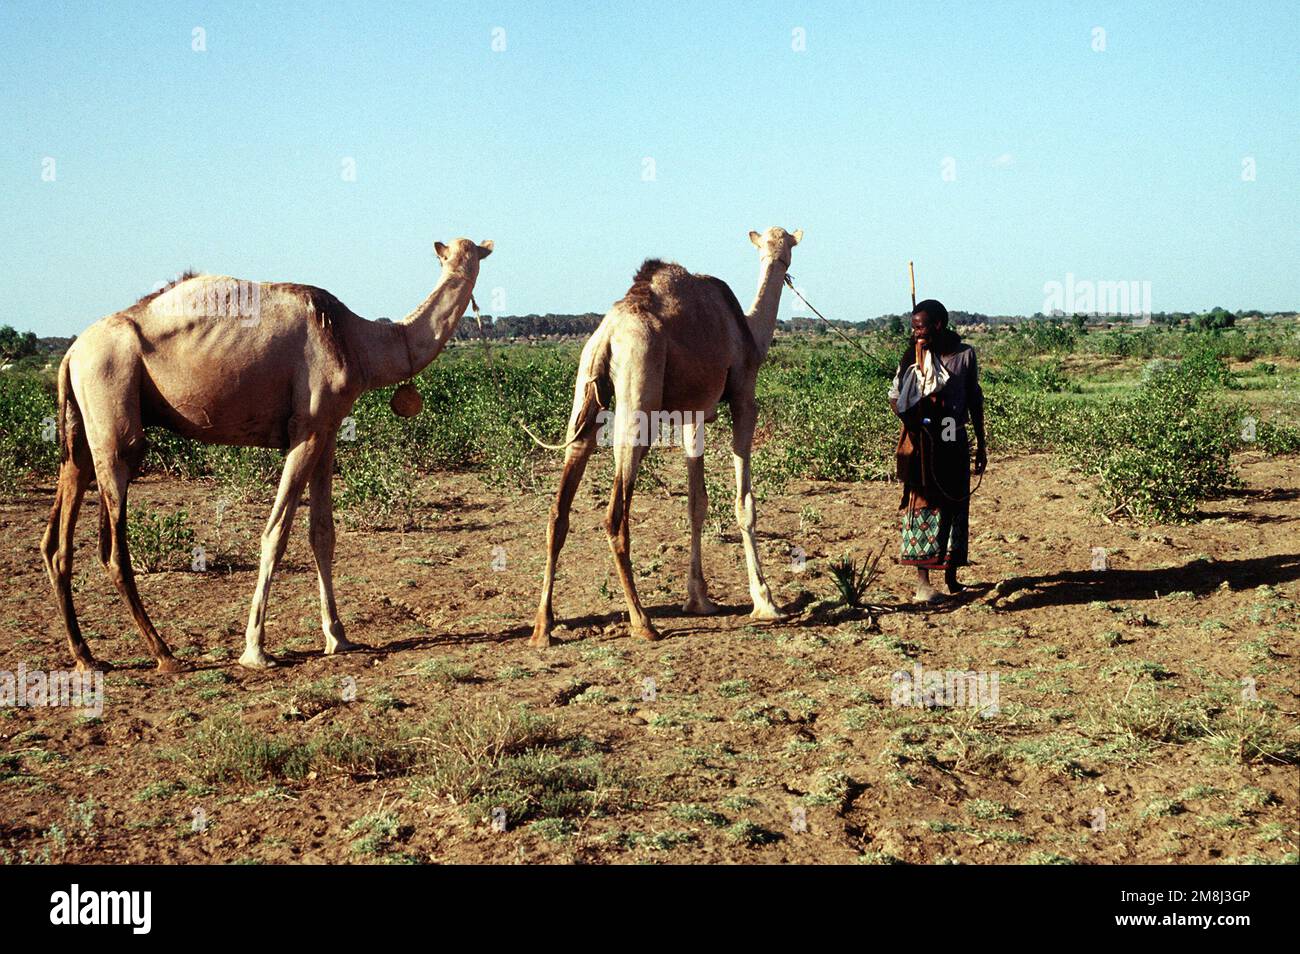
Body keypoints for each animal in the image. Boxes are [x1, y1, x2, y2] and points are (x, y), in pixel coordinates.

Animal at [42, 238, 493, 672]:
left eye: (470, 254)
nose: (468, 263)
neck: (358, 342)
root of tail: (71, 354)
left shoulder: (328, 430)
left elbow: (322, 533)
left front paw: (339, 637)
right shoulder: (305, 429)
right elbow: (276, 533)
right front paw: (256, 650)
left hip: (82, 433)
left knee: (58, 537)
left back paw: (86, 655)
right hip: (114, 413)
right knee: (113, 547)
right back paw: (164, 655)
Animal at [530, 227, 802, 647]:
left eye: (784, 243)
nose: (784, 262)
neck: (749, 333)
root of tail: (607, 334)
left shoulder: (695, 413)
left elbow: (696, 503)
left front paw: (699, 599)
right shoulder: (744, 395)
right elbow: (744, 503)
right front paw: (766, 602)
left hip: (585, 392)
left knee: (559, 510)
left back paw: (543, 626)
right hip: (638, 394)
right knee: (615, 516)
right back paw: (642, 622)